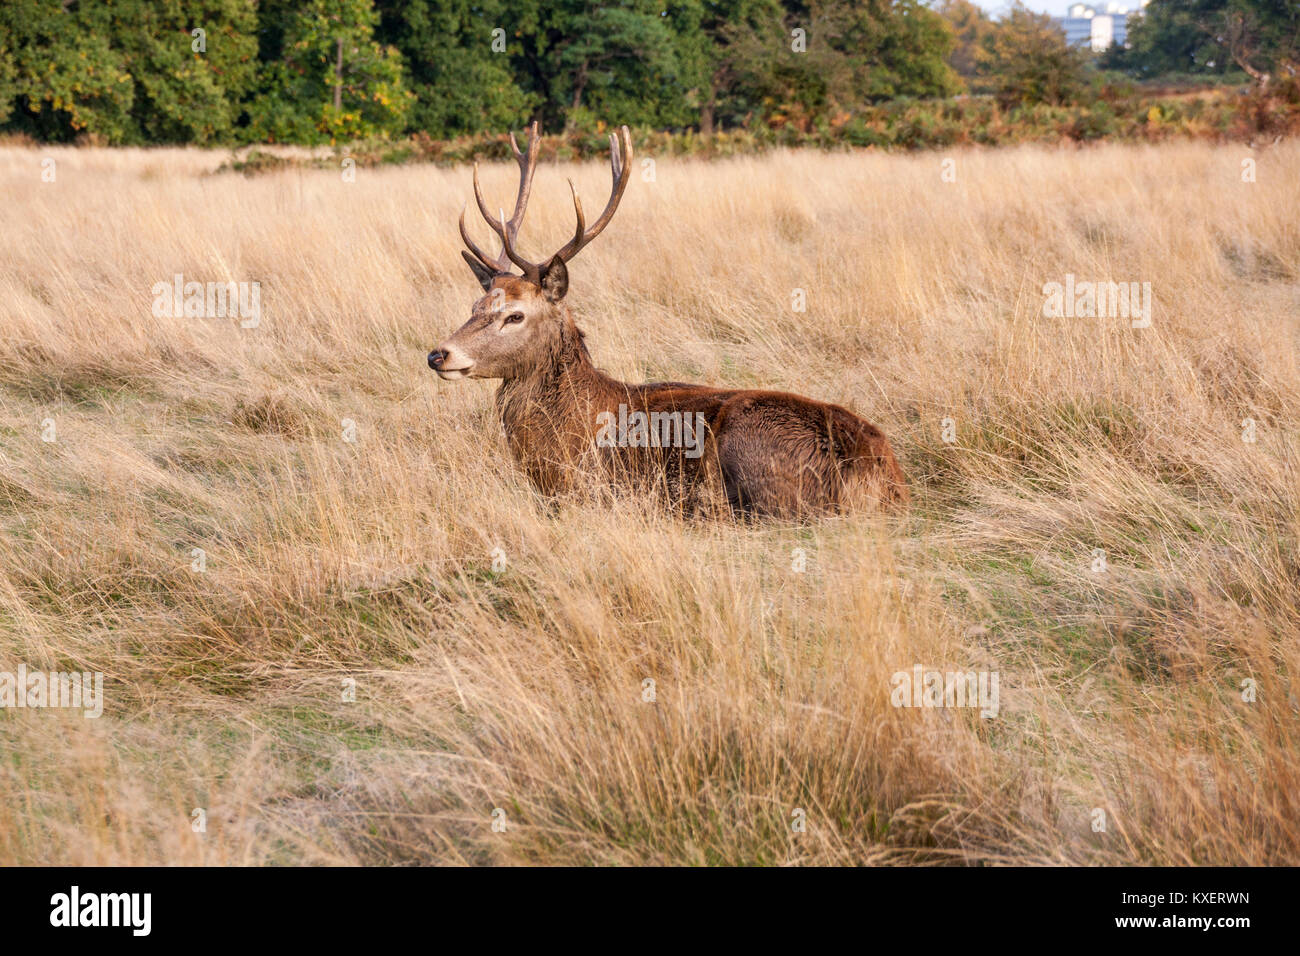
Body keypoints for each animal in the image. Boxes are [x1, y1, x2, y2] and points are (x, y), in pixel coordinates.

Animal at [427, 122, 908, 518]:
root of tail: (880, 472)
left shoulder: (589, 487)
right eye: (474, 306)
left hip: (749, 448)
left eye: (515, 315)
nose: (438, 354)